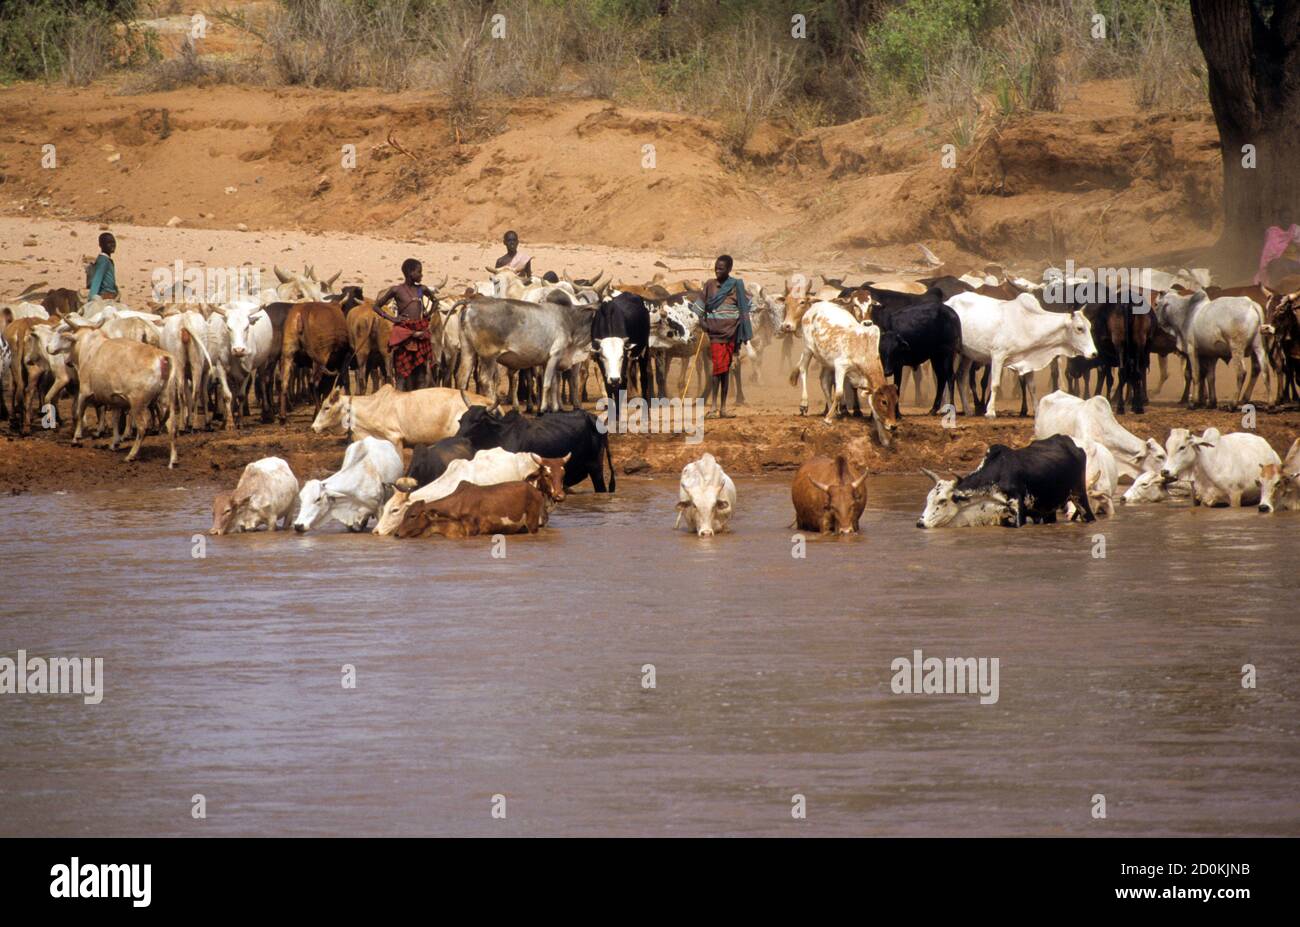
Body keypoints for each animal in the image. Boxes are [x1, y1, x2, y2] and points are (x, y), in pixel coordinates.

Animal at [45, 319, 181, 467]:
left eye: (69, 342)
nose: (67, 362)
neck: (90, 348)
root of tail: (162, 356)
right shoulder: (115, 400)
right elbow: (115, 420)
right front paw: (114, 443)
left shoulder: (84, 392)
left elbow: (79, 413)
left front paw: (76, 438)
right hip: (165, 400)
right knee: (172, 426)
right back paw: (173, 459)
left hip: (138, 403)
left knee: (142, 428)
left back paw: (131, 455)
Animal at [454, 404, 615, 492]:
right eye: (460, 420)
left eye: (477, 421)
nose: (457, 438)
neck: (499, 436)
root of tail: (593, 417)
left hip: (596, 468)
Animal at [917, 434, 1094, 528]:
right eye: (928, 499)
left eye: (942, 501)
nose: (920, 523)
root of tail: (1070, 442)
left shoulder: (1018, 510)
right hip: (1047, 508)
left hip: (1079, 496)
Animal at [946, 291, 1097, 418]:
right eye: (1079, 328)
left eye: (1090, 326)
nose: (1094, 353)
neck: (1027, 324)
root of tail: (948, 301)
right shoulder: (998, 355)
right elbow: (995, 384)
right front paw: (990, 411)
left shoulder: (1028, 362)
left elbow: (1032, 387)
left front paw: (1037, 411)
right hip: (952, 352)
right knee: (949, 376)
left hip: (967, 355)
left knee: (960, 376)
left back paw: (967, 410)